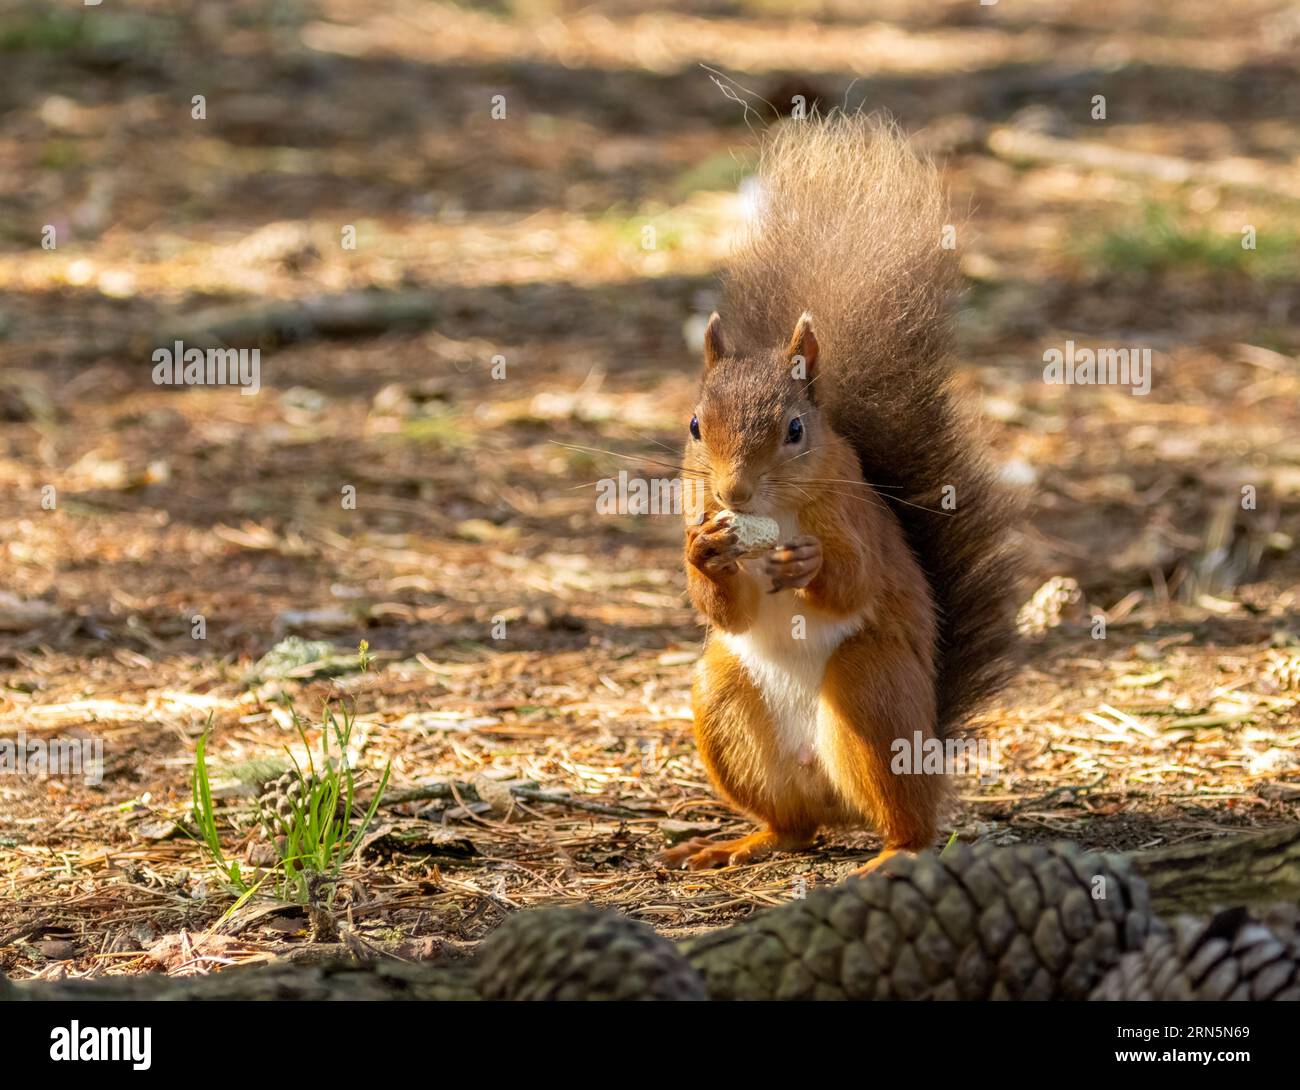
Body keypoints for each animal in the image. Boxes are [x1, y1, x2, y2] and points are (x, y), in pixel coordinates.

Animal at [658, 114, 1019, 874]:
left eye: (795, 430)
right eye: (696, 425)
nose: (734, 490)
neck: (773, 517)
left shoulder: (855, 518)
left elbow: (855, 579)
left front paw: (810, 564)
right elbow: (725, 610)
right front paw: (703, 555)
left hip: (871, 687)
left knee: (909, 819)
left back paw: (893, 852)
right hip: (723, 701)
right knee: (795, 826)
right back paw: (740, 842)